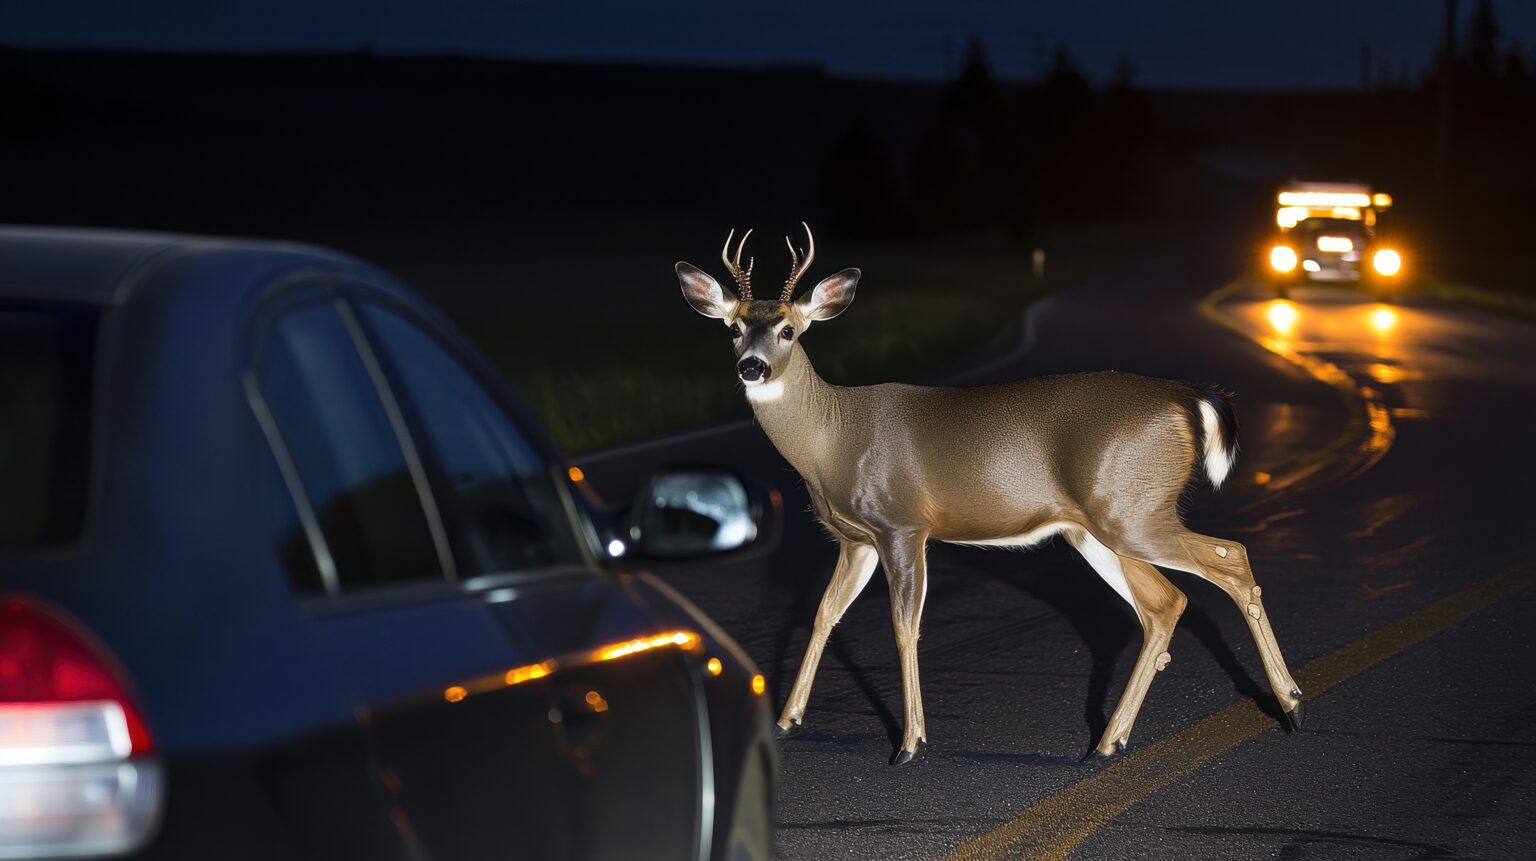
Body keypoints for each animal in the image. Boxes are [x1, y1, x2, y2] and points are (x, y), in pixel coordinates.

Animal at [675, 223, 1304, 766]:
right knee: (1164, 604)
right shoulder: (856, 540)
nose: (752, 368)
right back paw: (1108, 741)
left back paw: (1291, 704)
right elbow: (823, 614)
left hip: (1133, 512)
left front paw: (910, 744)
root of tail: (1188, 397)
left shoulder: (903, 525)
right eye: (733, 327)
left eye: (788, 328)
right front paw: (787, 718)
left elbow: (903, 627)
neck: (831, 438)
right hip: (1099, 527)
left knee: (1230, 557)